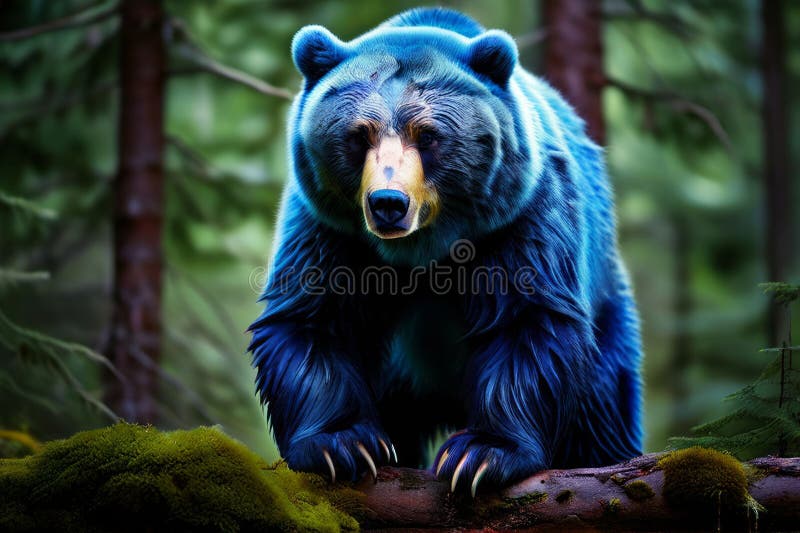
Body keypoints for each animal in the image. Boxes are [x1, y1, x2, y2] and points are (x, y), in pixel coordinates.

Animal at [248, 7, 643, 496]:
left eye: (428, 135)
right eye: (359, 135)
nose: (388, 202)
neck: (424, 249)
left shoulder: (521, 219)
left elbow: (525, 322)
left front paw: (480, 455)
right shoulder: (330, 230)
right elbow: (311, 320)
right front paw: (342, 445)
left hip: (607, 316)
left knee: (602, 412)